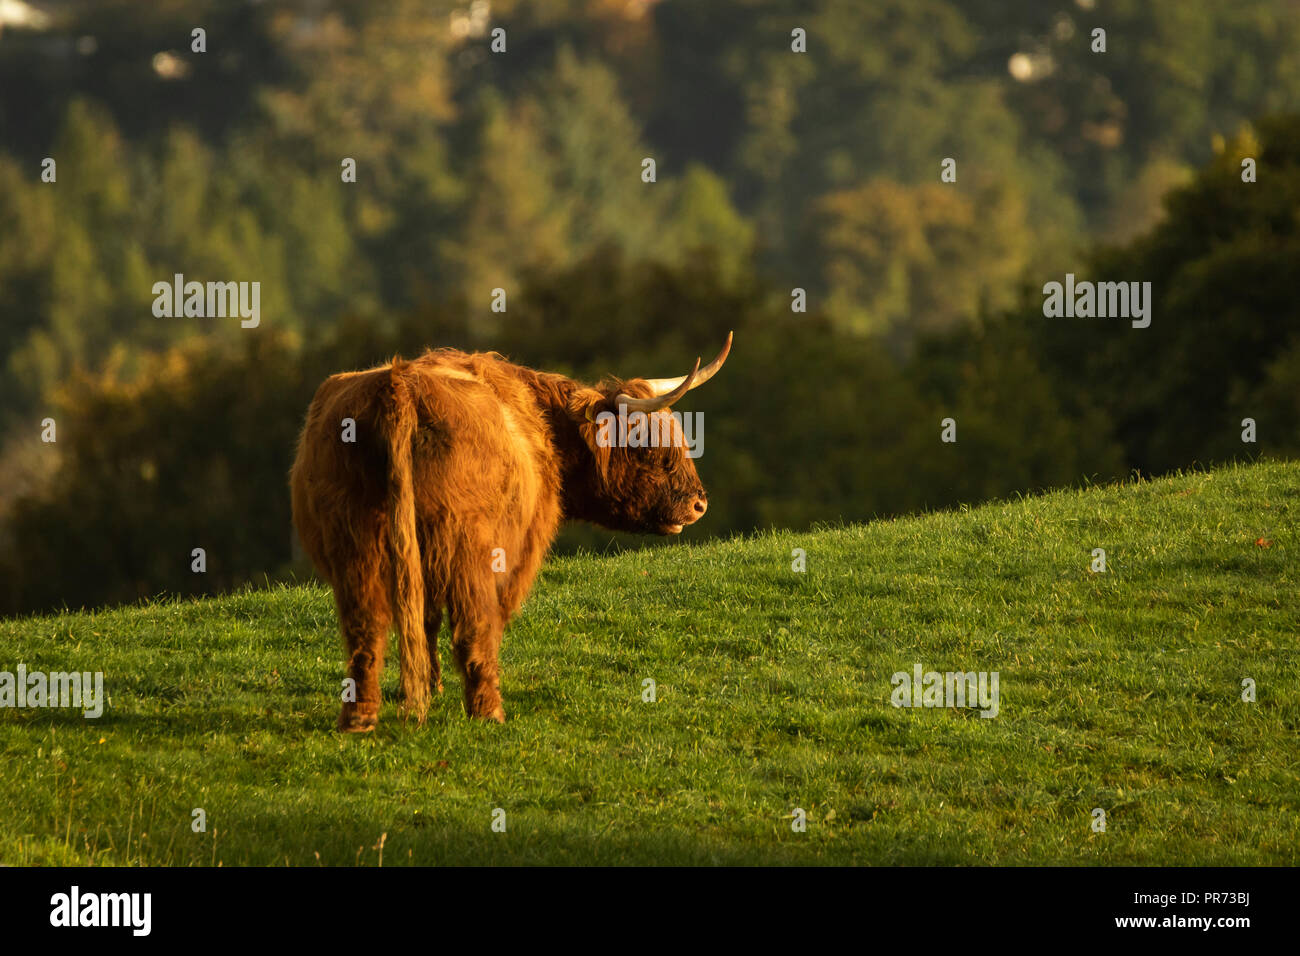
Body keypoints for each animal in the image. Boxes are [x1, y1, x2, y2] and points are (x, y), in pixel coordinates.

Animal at [289, 333, 731, 731]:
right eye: (646, 445)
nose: (699, 504)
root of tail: (399, 385)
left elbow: (425, 620)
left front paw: (429, 688)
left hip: (356, 548)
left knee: (364, 628)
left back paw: (359, 718)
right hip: (467, 550)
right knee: (473, 626)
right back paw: (489, 712)